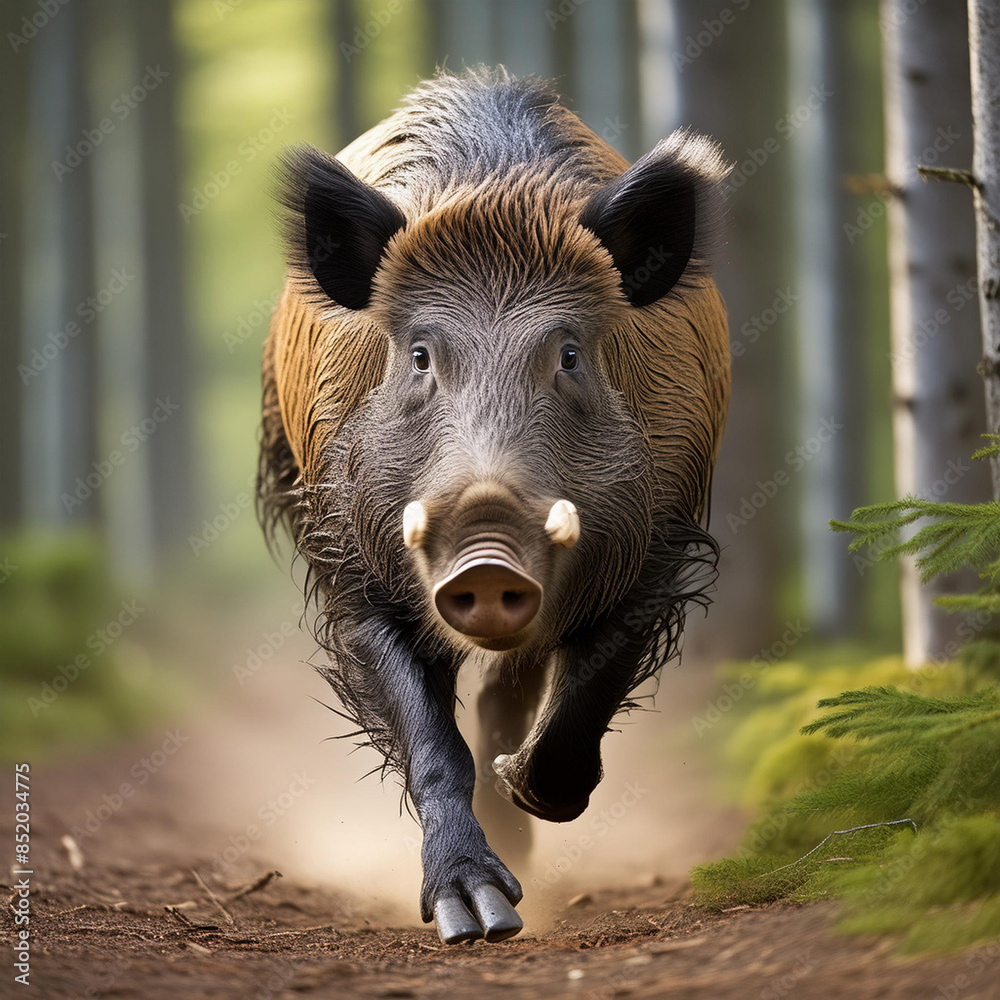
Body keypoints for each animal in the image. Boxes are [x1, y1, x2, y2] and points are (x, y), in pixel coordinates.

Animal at [259, 68, 730, 944]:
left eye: (569, 353)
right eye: (419, 355)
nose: (485, 553)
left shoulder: (660, 542)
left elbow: (587, 691)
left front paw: (521, 785)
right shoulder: (352, 564)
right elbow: (432, 741)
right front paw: (476, 922)